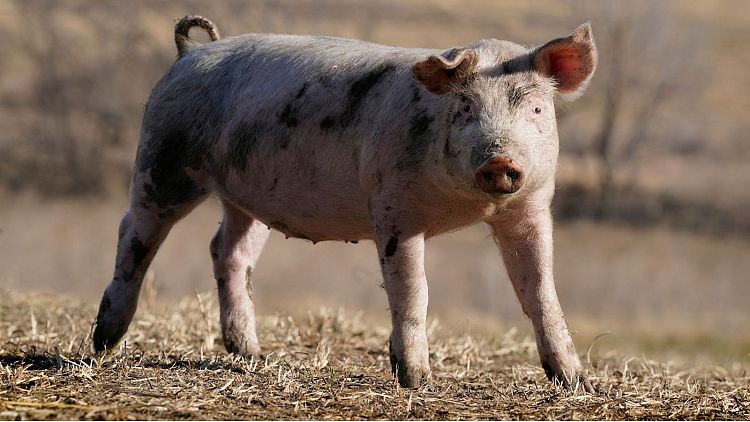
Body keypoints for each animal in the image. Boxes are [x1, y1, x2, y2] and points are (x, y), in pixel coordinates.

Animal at [93, 15, 598, 391]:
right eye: (466, 107)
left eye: (535, 109)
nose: (499, 160)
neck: (471, 206)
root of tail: (191, 54)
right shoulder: (394, 211)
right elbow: (413, 292)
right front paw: (417, 381)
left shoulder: (531, 209)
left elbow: (541, 292)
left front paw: (575, 382)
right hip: (165, 161)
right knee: (133, 233)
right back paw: (103, 342)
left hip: (247, 196)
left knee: (228, 251)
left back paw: (251, 354)